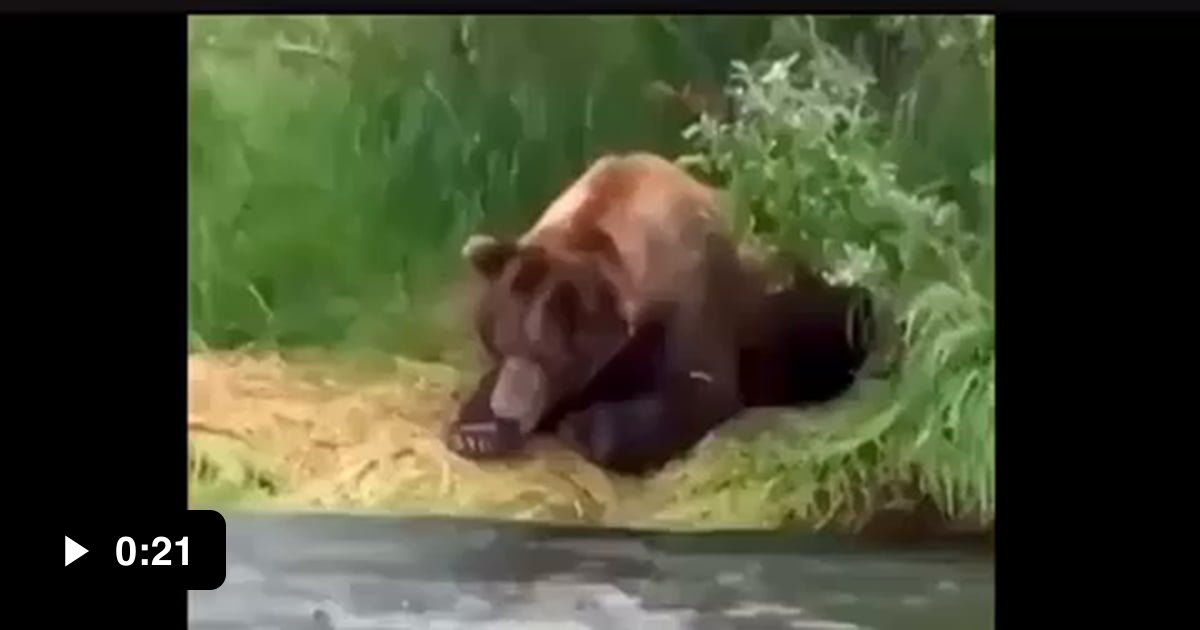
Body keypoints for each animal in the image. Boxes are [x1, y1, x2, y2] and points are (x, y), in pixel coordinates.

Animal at [442, 152, 877, 474]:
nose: (507, 411)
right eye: (498, 339)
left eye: (551, 356)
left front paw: (583, 427)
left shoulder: (695, 295)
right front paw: (475, 430)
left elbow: (698, 387)